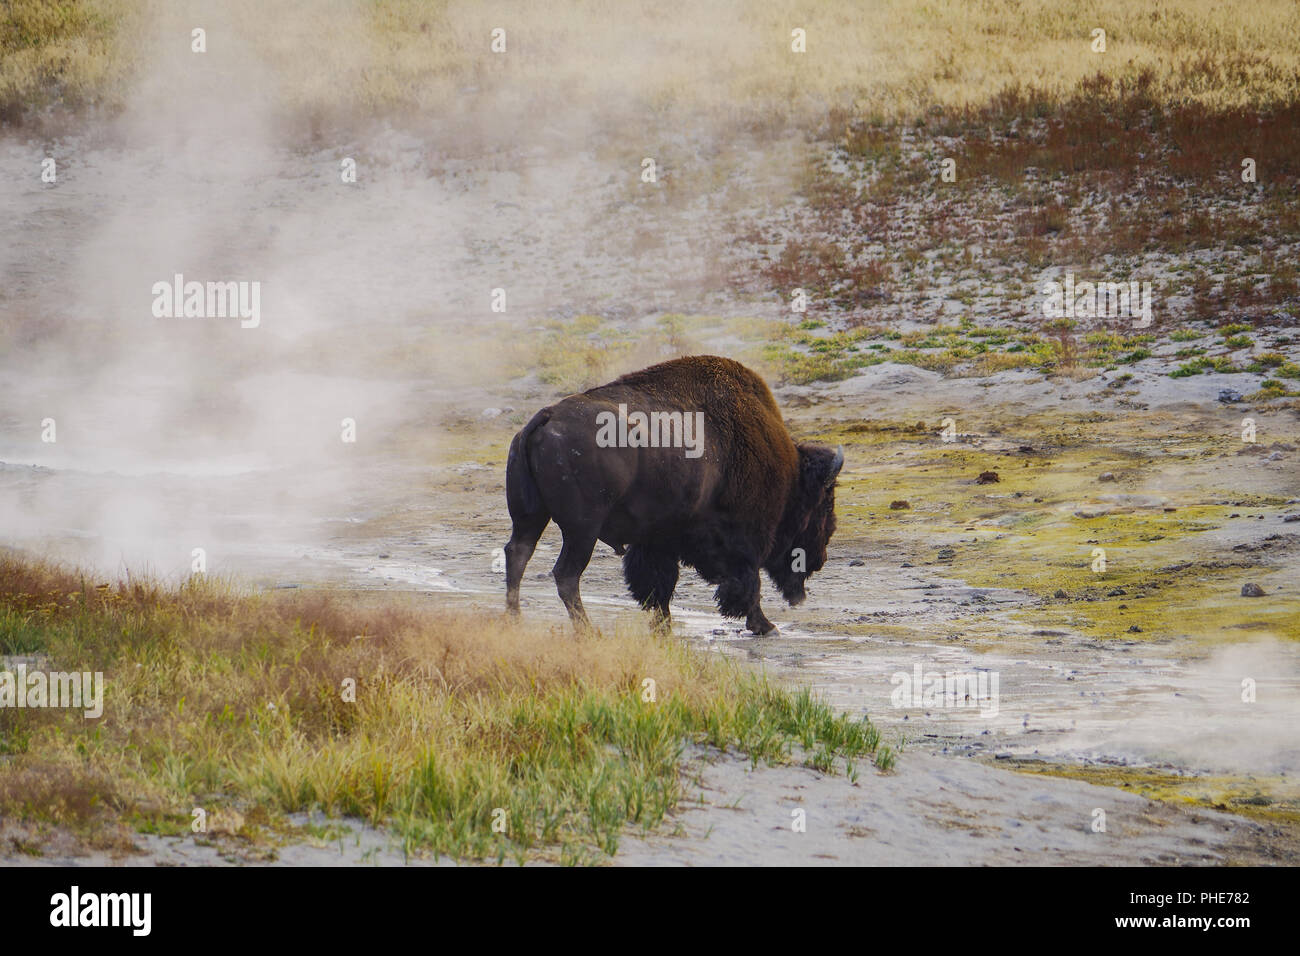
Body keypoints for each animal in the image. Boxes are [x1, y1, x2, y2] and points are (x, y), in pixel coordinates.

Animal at [503, 355, 843, 634]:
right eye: (824, 505)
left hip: (531, 517)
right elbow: (748, 582)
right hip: (582, 529)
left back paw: (515, 620)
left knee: (518, 554)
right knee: (565, 574)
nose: (820, 559)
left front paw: (663, 623)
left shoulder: (657, 539)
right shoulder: (743, 540)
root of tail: (546, 417)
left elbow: (658, 584)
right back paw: (587, 630)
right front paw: (766, 626)